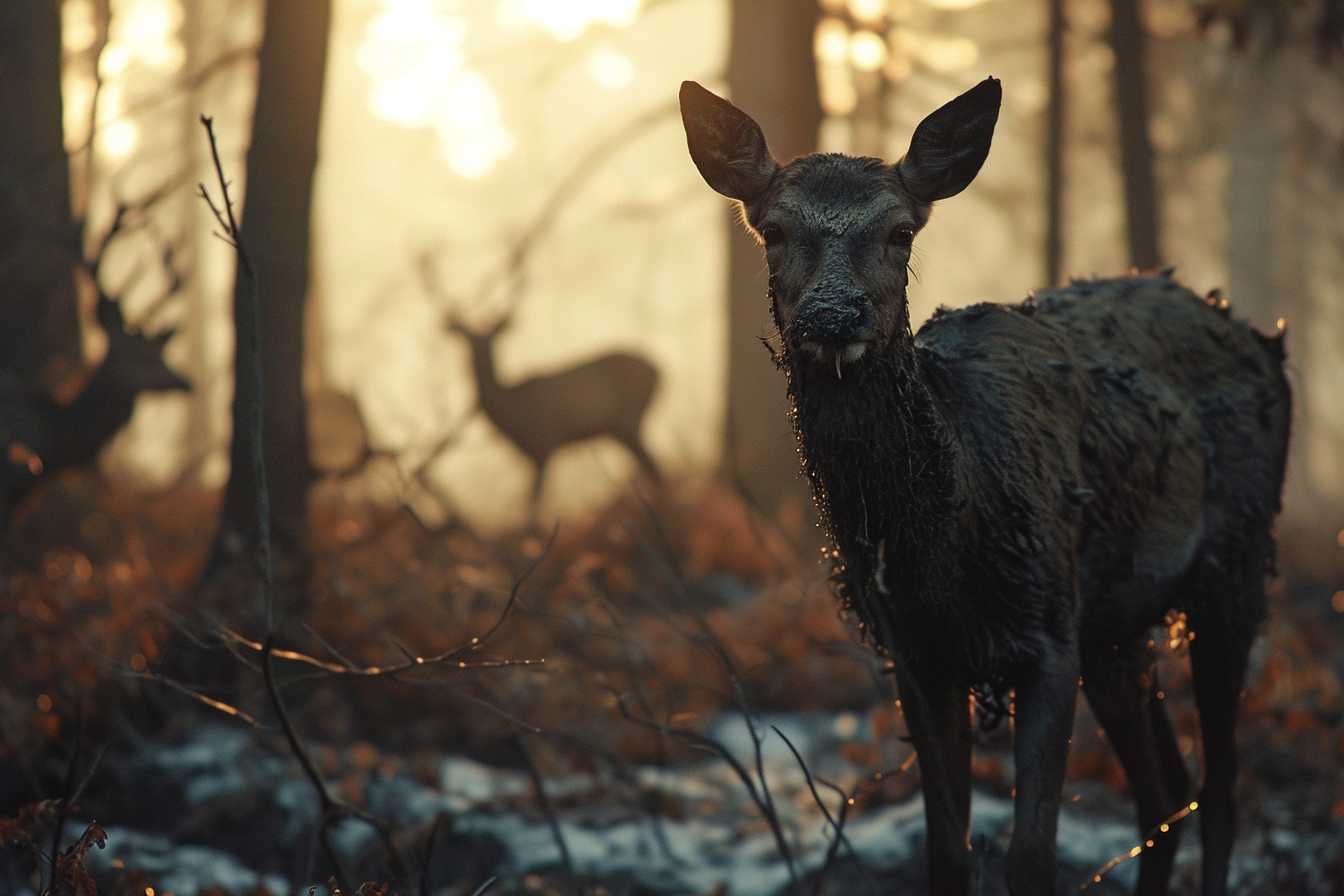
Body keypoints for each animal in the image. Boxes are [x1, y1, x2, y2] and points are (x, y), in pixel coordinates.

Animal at [446, 312, 661, 508]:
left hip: (629, 419)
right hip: (619, 430)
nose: (484, 359)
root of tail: (659, 370)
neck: (512, 410)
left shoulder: (543, 445)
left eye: (494, 338)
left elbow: (535, 505)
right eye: (467, 339)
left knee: (654, 467)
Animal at [681, 78, 1290, 896]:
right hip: (1116, 625)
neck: (951, 548)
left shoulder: (1048, 635)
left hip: (1234, 560)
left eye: (901, 231)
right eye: (773, 231)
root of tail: (1249, 328)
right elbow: (948, 852)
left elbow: (1031, 855)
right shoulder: (917, 656)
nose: (834, 314)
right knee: (1165, 790)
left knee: (1221, 788)